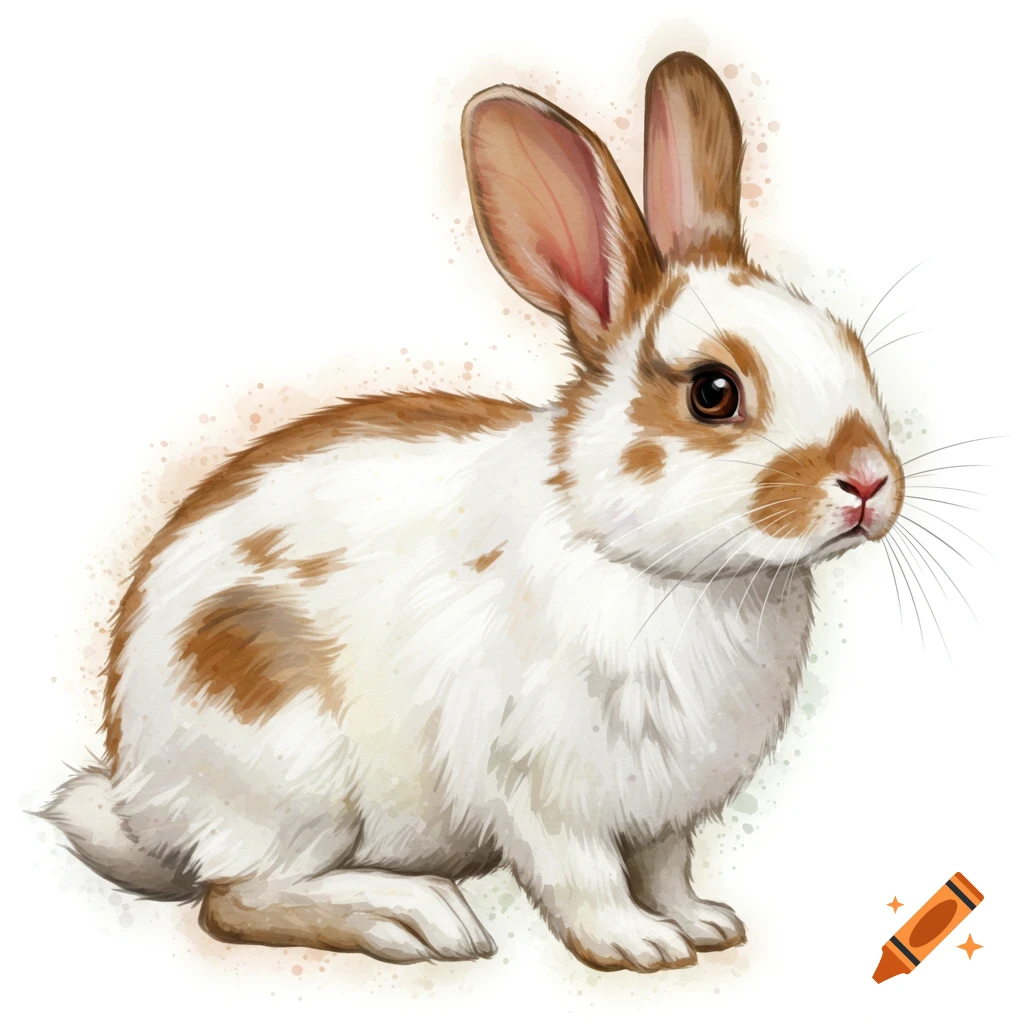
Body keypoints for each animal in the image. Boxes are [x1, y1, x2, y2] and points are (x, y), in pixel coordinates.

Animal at [41, 52, 904, 973]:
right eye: (714, 392)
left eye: (850, 345)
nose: (869, 481)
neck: (654, 565)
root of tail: (140, 798)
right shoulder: (545, 791)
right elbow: (585, 880)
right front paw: (639, 946)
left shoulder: (665, 815)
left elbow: (668, 867)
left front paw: (705, 923)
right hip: (289, 763)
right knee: (237, 897)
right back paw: (412, 917)